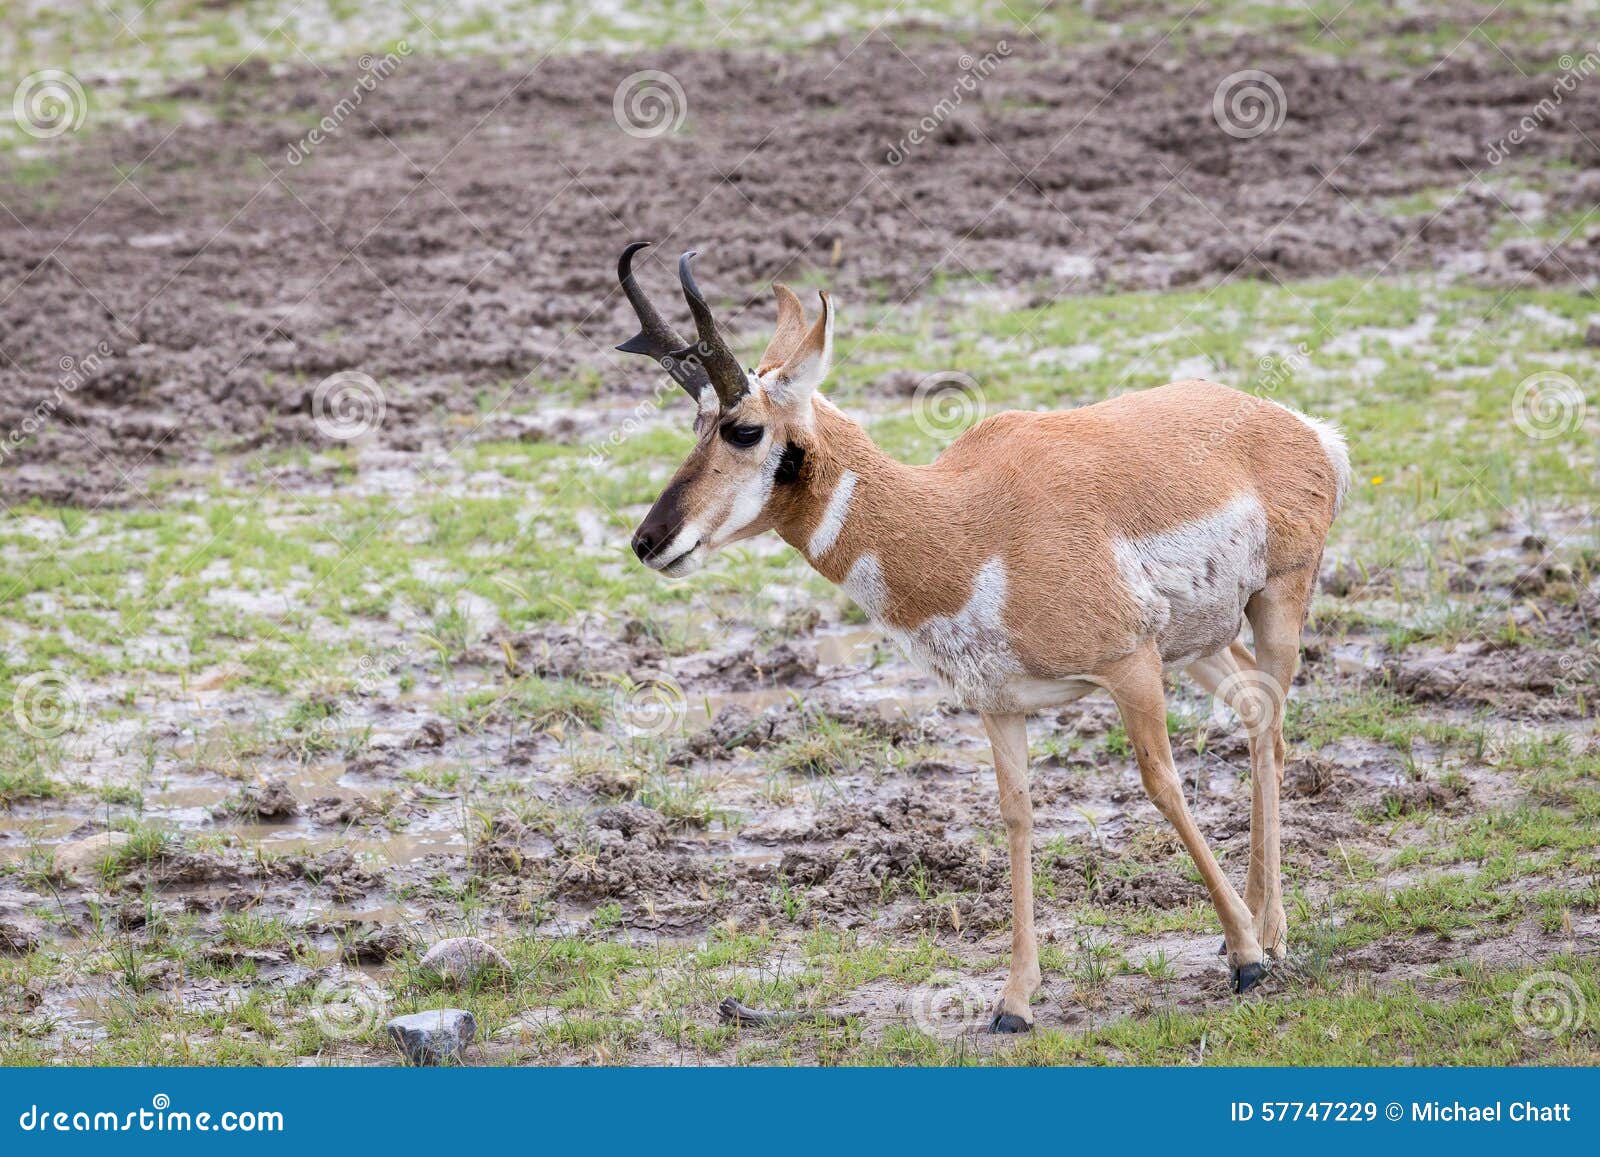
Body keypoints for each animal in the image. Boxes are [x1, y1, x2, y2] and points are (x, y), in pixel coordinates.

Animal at [614, 242, 1350, 1032]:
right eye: (695, 425)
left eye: (744, 428)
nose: (648, 541)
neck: (968, 519)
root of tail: (1293, 424)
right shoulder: (1000, 706)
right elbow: (1016, 815)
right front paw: (1014, 1001)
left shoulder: (1129, 666)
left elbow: (1162, 786)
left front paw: (1246, 957)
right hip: (1203, 644)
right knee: (1253, 710)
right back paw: (1252, 921)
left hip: (1277, 604)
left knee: (1270, 722)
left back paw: (1268, 934)